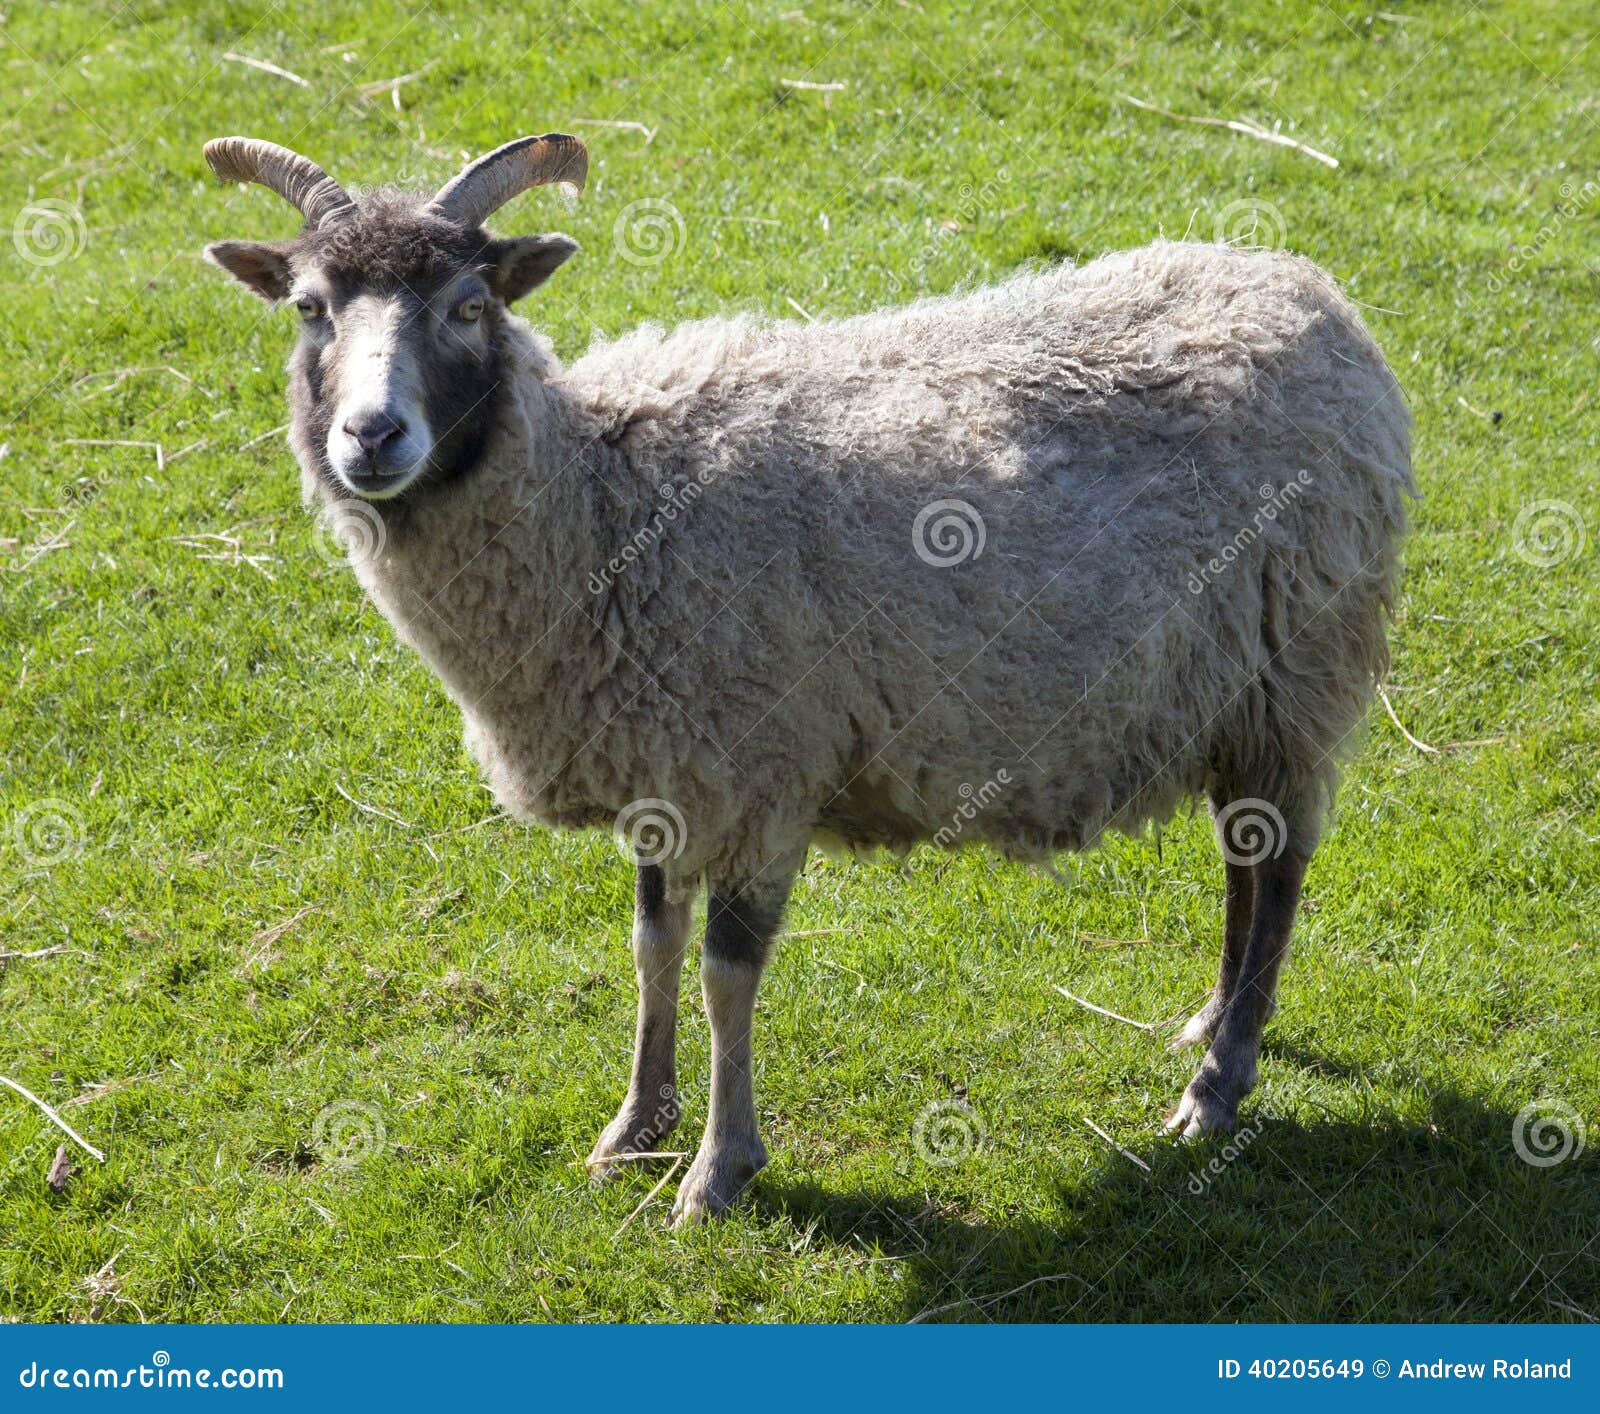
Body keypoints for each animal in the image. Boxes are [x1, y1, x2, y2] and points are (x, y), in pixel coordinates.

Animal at [202, 133, 1414, 1224]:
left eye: (466, 306)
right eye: (309, 307)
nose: (372, 436)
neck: (603, 497)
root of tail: (1307, 294)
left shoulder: (752, 775)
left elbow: (723, 974)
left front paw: (717, 1171)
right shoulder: (662, 772)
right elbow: (650, 949)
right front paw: (633, 1125)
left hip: (1298, 668)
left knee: (1279, 866)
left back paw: (1219, 1083)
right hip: (1226, 691)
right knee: (1244, 862)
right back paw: (1212, 1020)